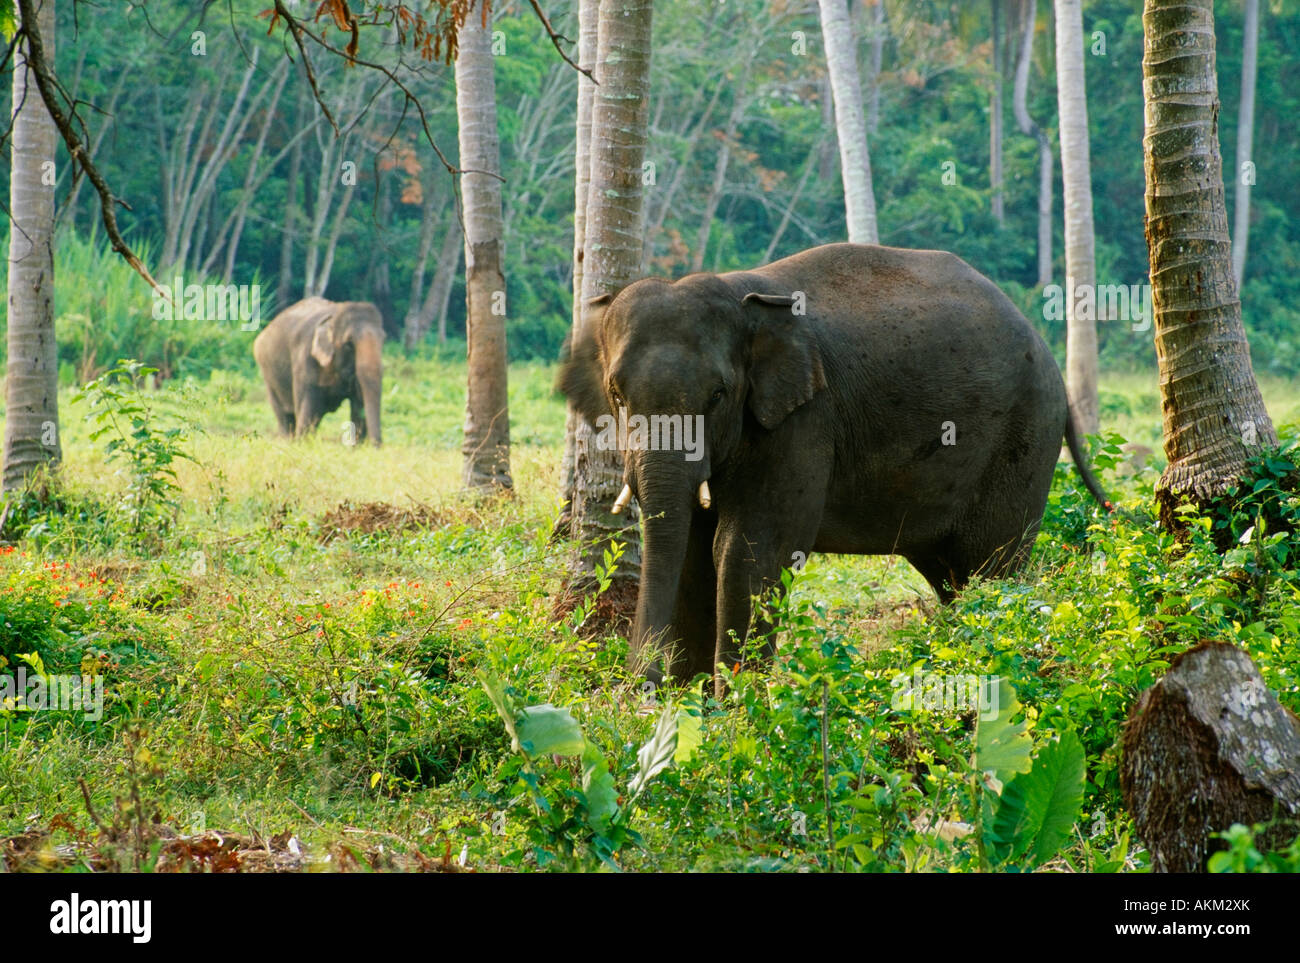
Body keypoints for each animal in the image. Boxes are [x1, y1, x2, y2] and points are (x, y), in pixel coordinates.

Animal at [253, 297, 384, 445]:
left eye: (383, 339)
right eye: (349, 344)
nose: (377, 446)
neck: (335, 314)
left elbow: (358, 407)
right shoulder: (304, 358)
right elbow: (307, 409)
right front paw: (303, 444)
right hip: (268, 375)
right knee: (285, 416)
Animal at [558, 242, 1110, 689]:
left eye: (718, 395)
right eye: (616, 394)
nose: (640, 684)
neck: (740, 295)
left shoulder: (804, 421)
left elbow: (748, 551)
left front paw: (732, 708)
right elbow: (694, 551)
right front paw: (686, 705)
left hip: (1023, 438)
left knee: (992, 565)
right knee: (952, 576)